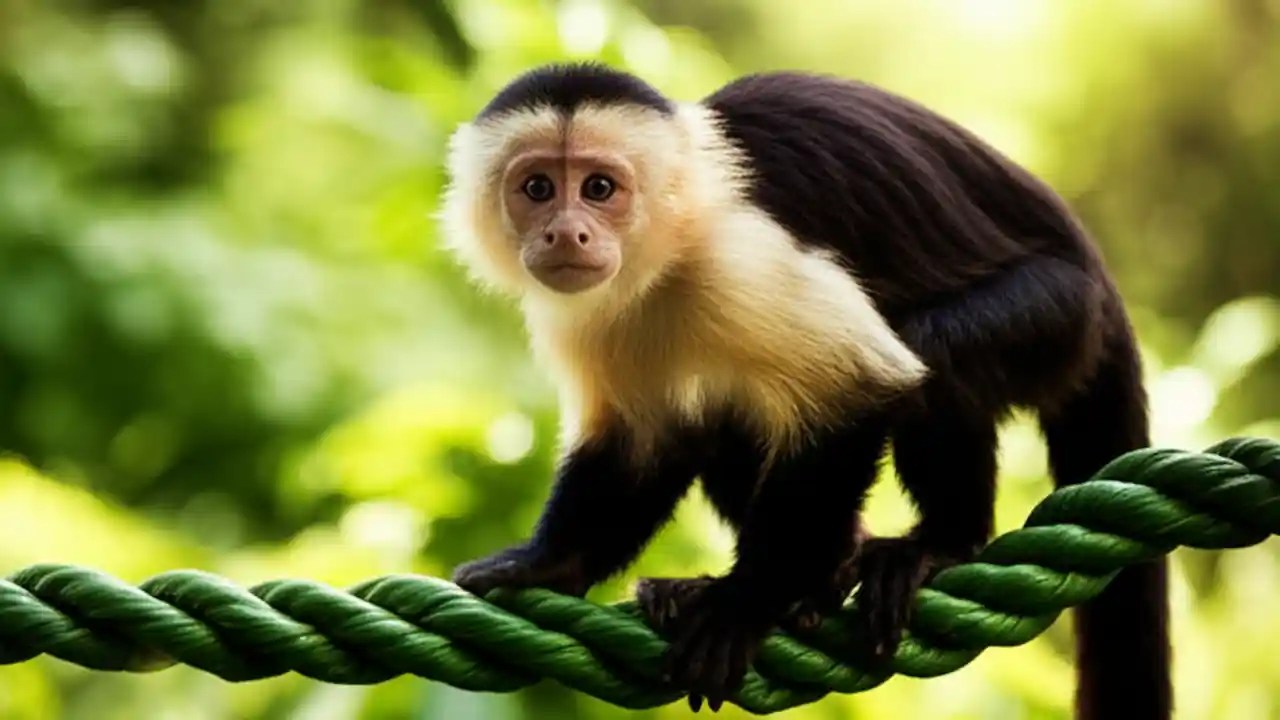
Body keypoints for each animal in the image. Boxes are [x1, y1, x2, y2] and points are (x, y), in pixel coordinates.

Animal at [437, 62, 1169, 718]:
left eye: (598, 187)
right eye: (537, 187)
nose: (567, 232)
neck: (671, 245)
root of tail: (1098, 276)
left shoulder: (740, 255)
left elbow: (860, 386)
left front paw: (741, 604)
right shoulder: (588, 312)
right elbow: (642, 443)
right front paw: (546, 564)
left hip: (1057, 312)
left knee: (931, 349)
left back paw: (939, 544)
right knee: (727, 420)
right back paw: (828, 574)